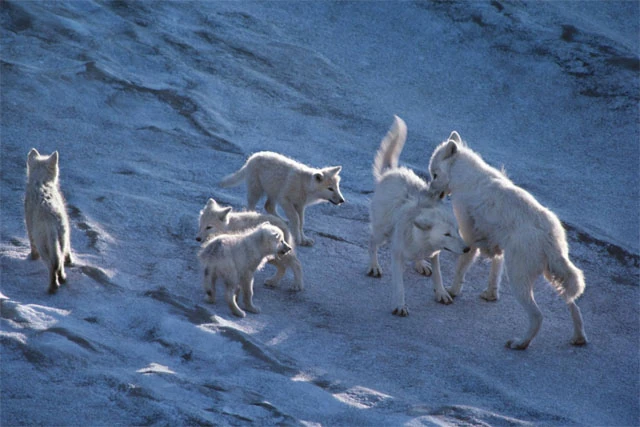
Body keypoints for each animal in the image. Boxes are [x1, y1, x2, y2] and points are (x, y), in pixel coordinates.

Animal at [24, 149, 72, 294]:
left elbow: (31, 242)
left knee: (52, 265)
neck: (41, 181)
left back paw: (52, 287)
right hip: (62, 236)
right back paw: (62, 278)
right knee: (60, 260)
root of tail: (50, 222)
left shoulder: (29, 224)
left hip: (43, 243)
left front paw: (32, 257)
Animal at [368, 116, 470, 316]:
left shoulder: (435, 254)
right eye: (447, 234)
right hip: (382, 231)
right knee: (372, 241)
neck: (423, 243)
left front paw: (441, 293)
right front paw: (400, 305)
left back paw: (420, 264)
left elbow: (438, 275)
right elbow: (399, 286)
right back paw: (374, 266)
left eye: (457, 231)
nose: (467, 249)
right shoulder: (397, 256)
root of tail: (391, 171)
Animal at [428, 132, 588, 349]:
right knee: (574, 306)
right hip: (554, 274)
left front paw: (452, 291)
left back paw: (520, 343)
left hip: (519, 278)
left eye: (434, 175)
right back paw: (578, 337)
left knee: (537, 316)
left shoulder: (469, 239)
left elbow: (461, 268)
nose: (429, 191)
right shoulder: (497, 247)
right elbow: (495, 272)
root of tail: (549, 238)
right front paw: (490, 295)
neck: (466, 175)